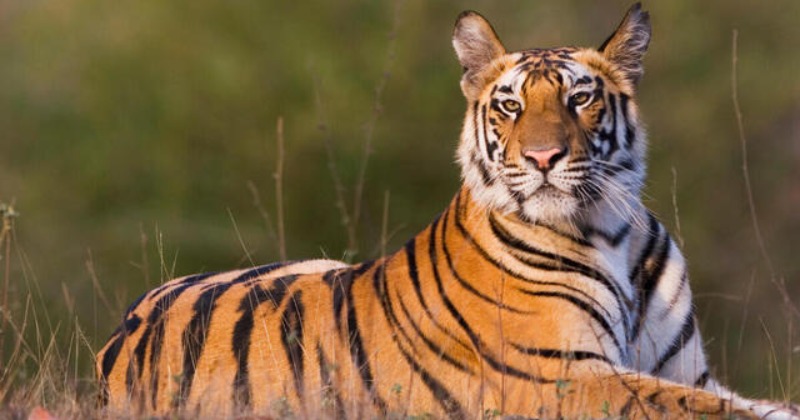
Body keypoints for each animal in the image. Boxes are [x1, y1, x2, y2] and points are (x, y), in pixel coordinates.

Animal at [96, 4, 799, 419]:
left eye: (580, 98)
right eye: (511, 106)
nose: (543, 157)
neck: (612, 230)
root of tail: (117, 340)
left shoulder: (688, 370)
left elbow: (745, 402)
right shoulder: (562, 378)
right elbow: (715, 411)